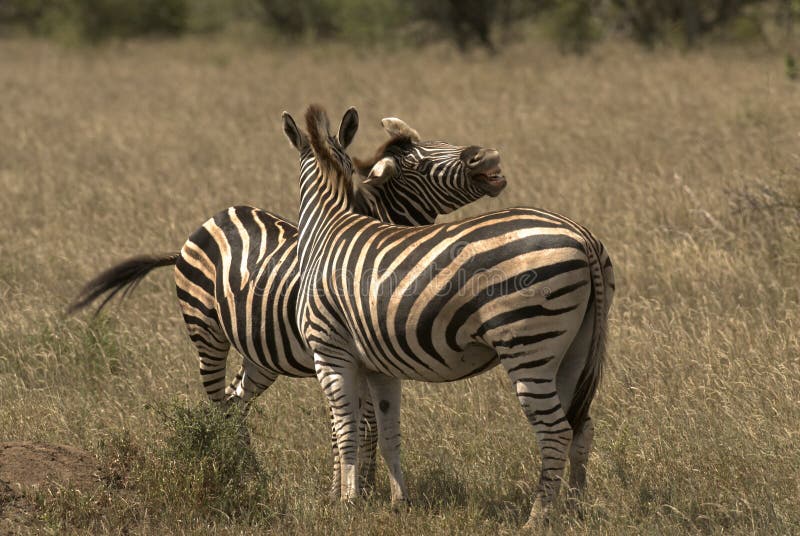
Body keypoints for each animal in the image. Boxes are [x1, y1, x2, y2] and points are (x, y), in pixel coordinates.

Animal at [68, 115, 506, 496]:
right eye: (418, 162)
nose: (486, 157)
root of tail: (211, 220)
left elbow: (363, 423)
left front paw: (363, 487)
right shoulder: (335, 351)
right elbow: (353, 423)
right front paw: (347, 490)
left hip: (261, 356)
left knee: (235, 402)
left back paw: (253, 474)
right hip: (205, 331)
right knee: (217, 402)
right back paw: (230, 469)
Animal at [285, 105, 614, 526]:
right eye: (420, 162)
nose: (487, 156)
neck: (329, 226)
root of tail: (582, 236)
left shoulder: (330, 352)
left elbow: (344, 431)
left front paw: (346, 503)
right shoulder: (376, 363)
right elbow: (386, 430)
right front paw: (395, 501)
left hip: (529, 344)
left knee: (555, 431)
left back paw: (536, 519)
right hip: (576, 350)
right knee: (580, 426)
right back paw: (574, 511)